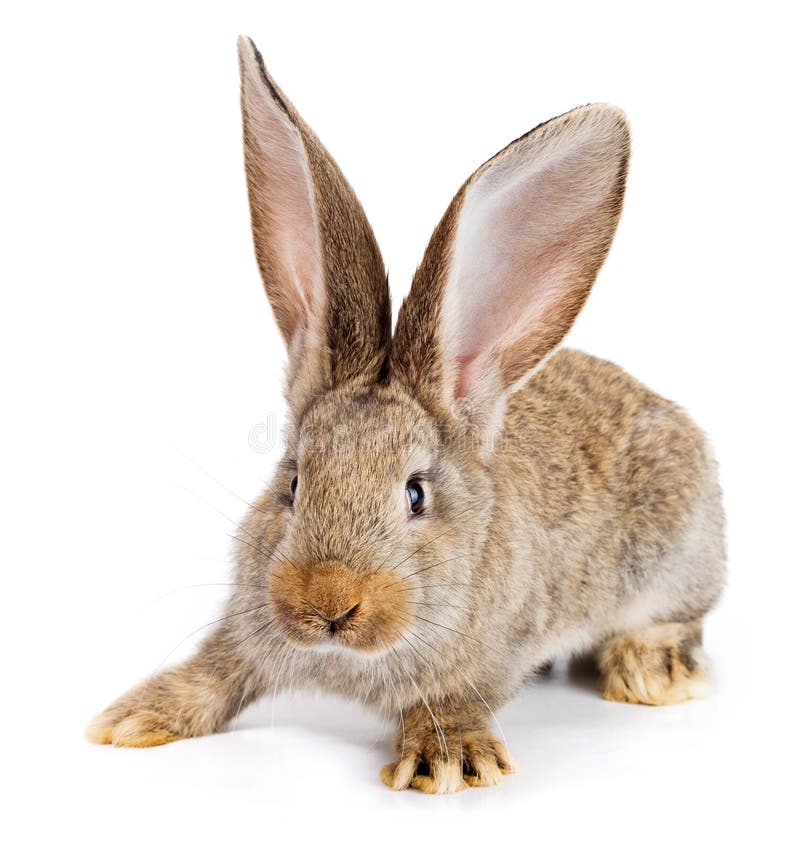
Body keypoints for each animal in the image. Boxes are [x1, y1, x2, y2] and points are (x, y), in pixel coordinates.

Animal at [86, 35, 726, 794]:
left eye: (415, 495)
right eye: (293, 483)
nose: (328, 602)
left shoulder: (488, 654)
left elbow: (453, 699)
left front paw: (447, 760)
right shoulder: (247, 633)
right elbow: (216, 671)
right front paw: (133, 717)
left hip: (679, 554)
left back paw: (652, 672)